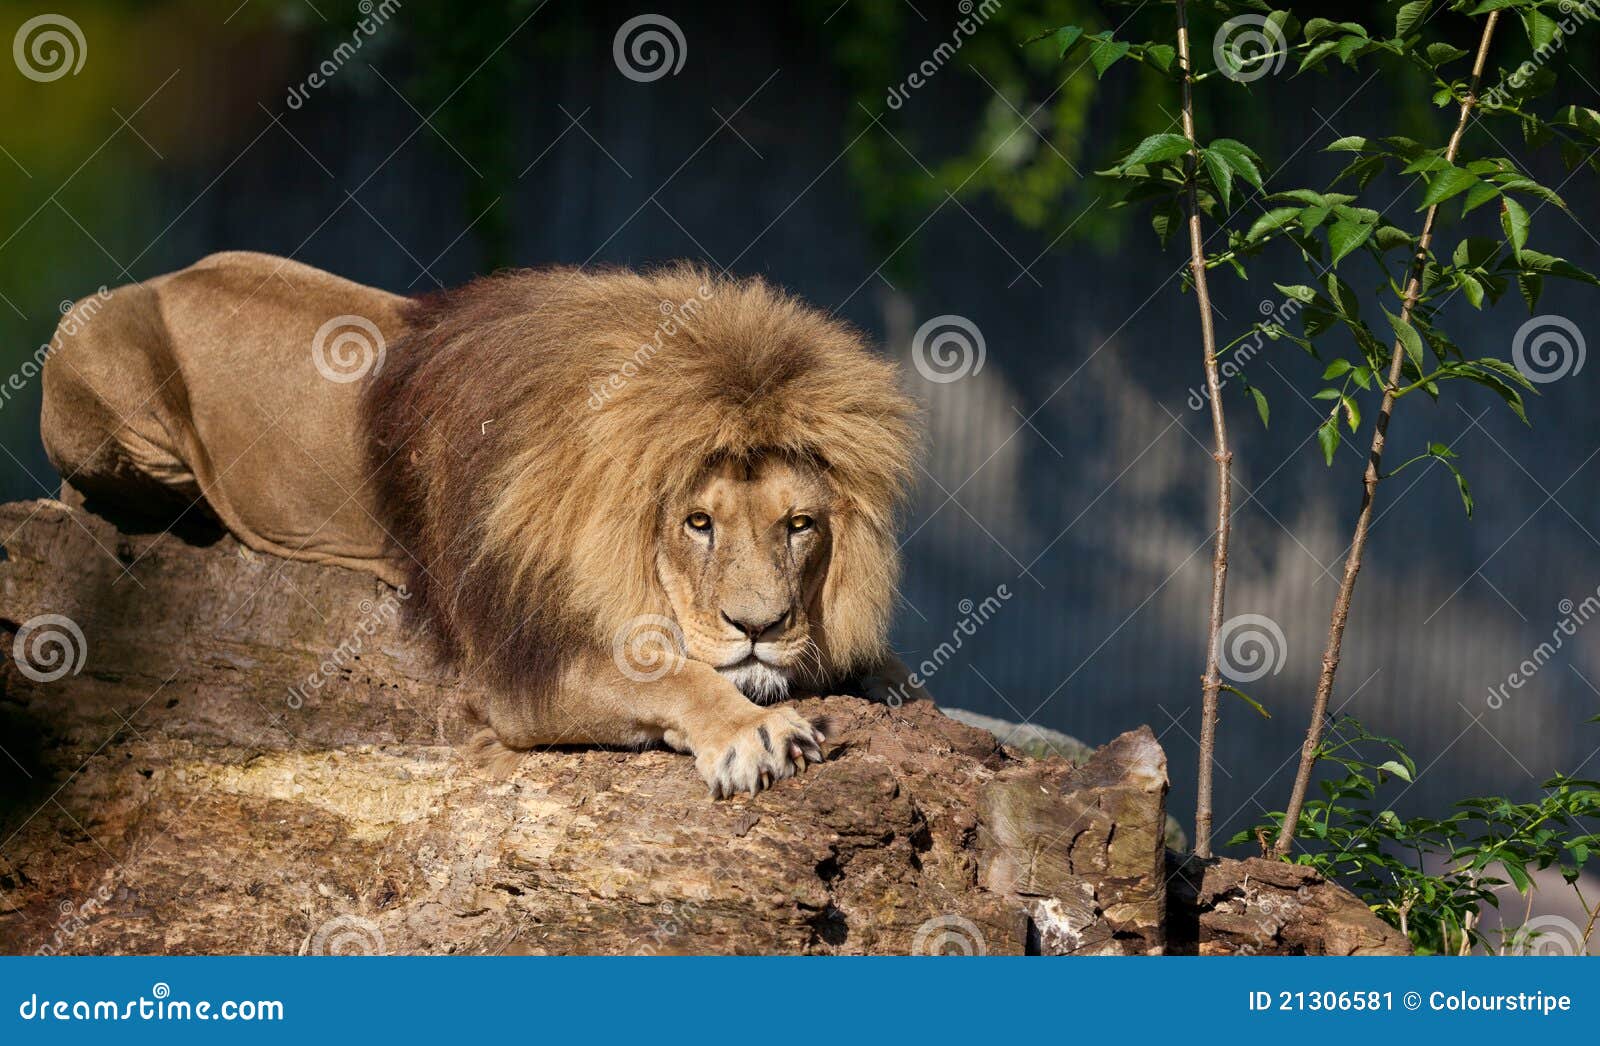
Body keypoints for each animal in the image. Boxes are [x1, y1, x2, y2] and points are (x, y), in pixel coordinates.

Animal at [40, 251, 924, 797]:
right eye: (697, 523)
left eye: (800, 525)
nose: (760, 627)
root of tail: (163, 274)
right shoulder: (521, 668)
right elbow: (670, 674)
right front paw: (754, 731)